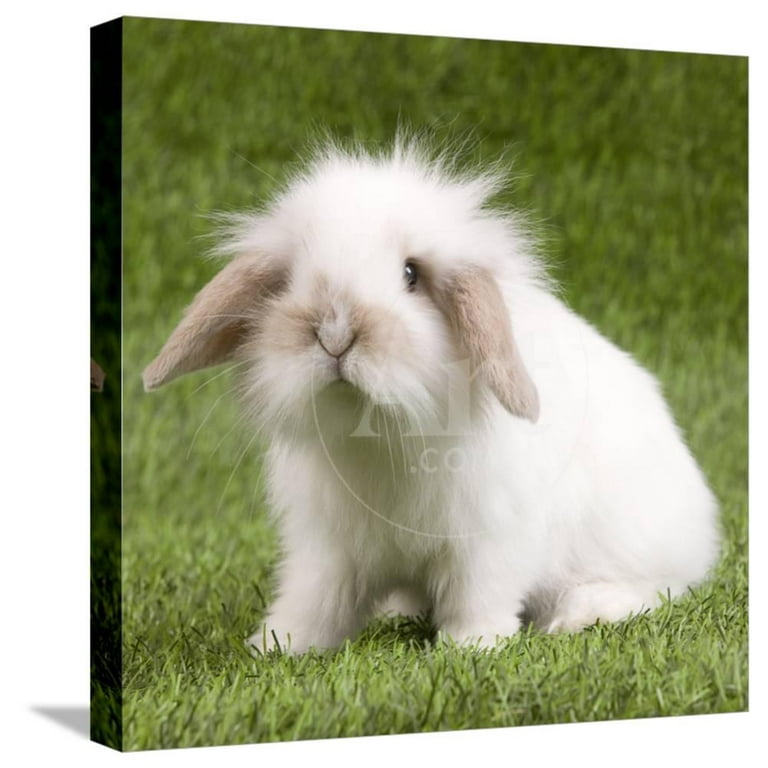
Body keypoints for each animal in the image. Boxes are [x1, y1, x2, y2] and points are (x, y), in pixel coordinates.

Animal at [143, 137, 720, 654]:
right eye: (288, 282)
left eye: (411, 274)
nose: (334, 333)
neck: (383, 435)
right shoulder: (327, 548)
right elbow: (315, 600)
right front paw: (278, 645)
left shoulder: (489, 539)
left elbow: (478, 594)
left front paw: (472, 645)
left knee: (652, 588)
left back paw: (583, 614)